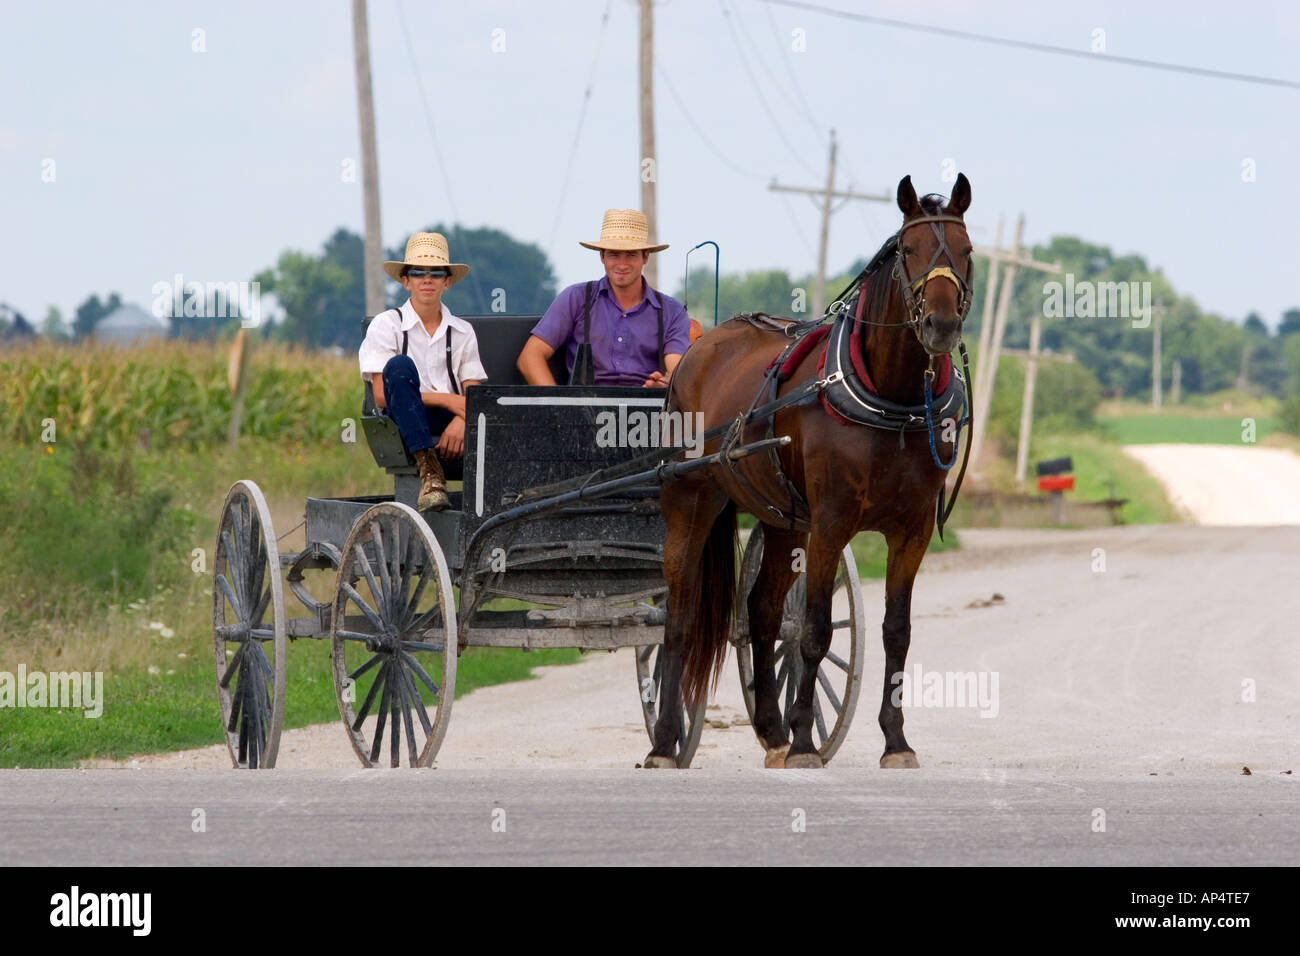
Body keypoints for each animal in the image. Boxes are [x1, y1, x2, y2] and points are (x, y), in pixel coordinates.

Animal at [645, 173, 974, 769]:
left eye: (967, 251)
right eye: (908, 251)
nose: (941, 325)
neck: (891, 400)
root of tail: (700, 348)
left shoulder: (911, 531)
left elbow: (896, 631)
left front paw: (895, 741)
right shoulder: (831, 523)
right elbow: (815, 632)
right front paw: (804, 740)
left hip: (783, 519)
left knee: (762, 611)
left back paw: (770, 732)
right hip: (690, 498)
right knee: (679, 618)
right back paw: (664, 742)